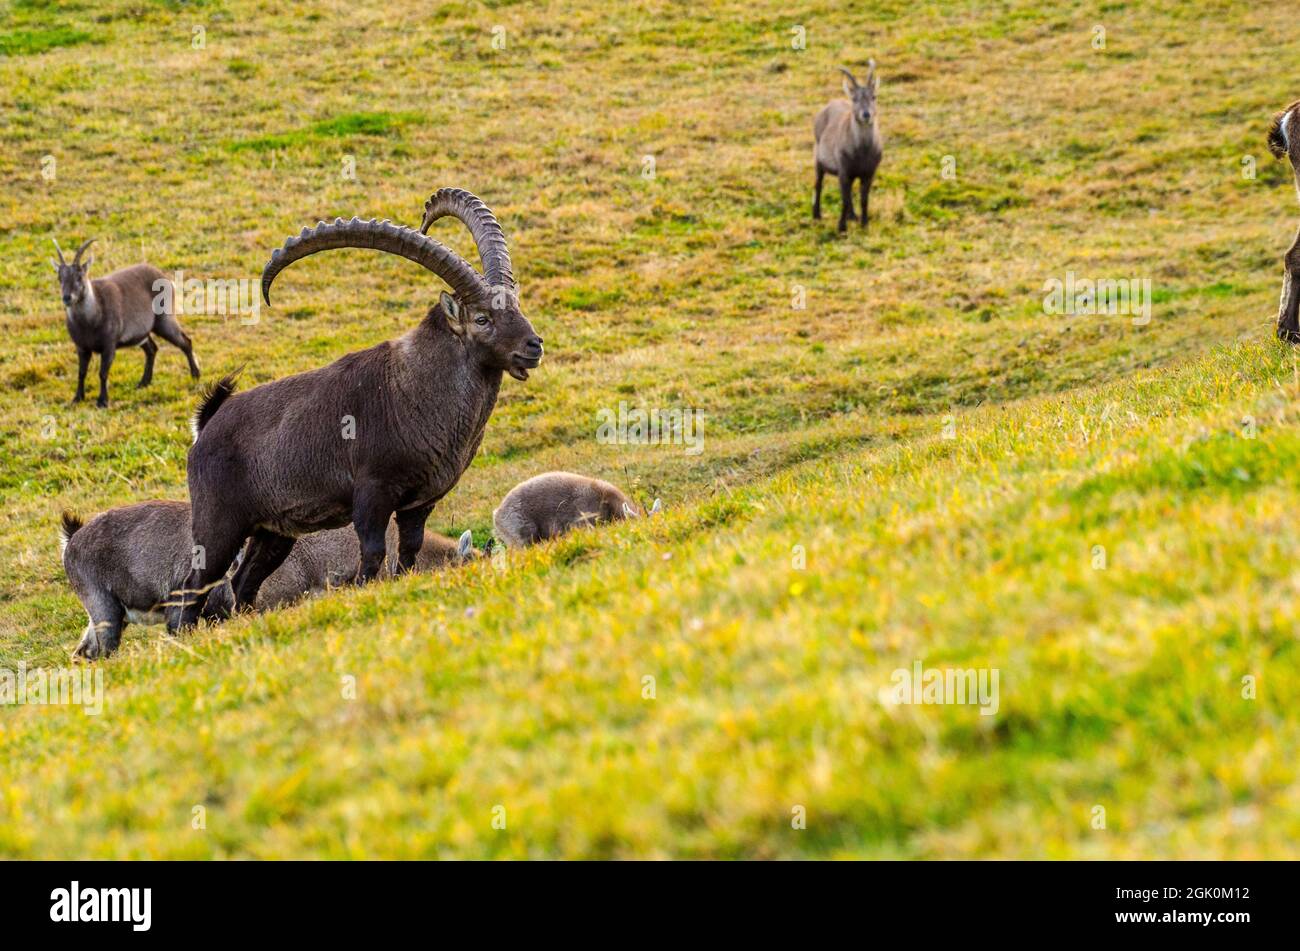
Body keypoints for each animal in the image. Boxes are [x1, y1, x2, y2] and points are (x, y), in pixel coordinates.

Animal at [51, 238, 200, 407]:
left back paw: (195, 374)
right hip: (142, 334)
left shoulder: (109, 345)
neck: (89, 321)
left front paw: (102, 401)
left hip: (164, 321)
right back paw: (143, 382)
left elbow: (103, 373)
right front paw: (77, 398)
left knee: (185, 342)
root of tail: (165, 278)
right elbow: (81, 373)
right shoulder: (82, 347)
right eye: (60, 278)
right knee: (152, 349)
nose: (67, 298)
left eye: (79, 277)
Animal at [166, 188, 542, 631]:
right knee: (191, 590)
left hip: (274, 532)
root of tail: (205, 426)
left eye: (515, 305)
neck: (415, 390)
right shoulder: (371, 493)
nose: (534, 346)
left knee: (244, 581)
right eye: (482, 318)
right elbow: (374, 554)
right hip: (218, 526)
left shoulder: (418, 503)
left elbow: (409, 553)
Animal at [813, 62, 883, 233]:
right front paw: (841, 227)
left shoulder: (868, 172)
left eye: (874, 96)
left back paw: (853, 216)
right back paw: (816, 214)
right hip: (817, 157)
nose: (866, 114)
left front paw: (864, 224)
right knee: (818, 184)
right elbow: (844, 199)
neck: (862, 152)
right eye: (855, 98)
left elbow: (863, 199)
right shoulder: (844, 170)